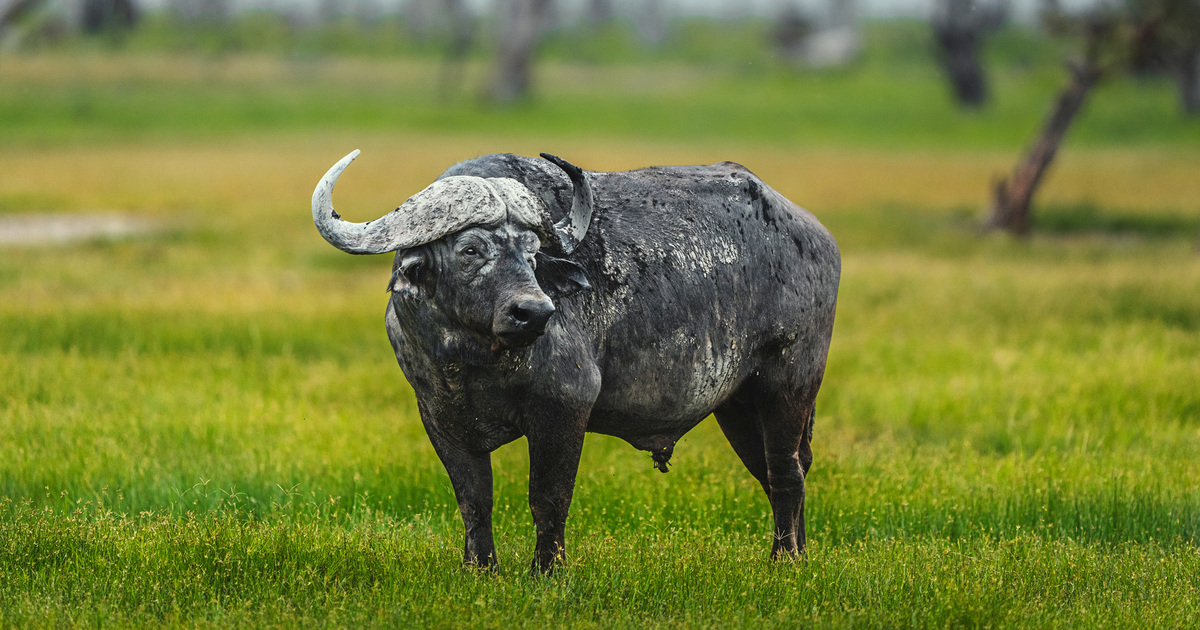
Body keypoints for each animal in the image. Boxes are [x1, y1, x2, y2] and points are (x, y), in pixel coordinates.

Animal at [311, 150, 840, 573]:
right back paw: (799, 553)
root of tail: (816, 235)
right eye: (470, 249)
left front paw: (546, 572)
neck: (472, 358)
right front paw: (480, 570)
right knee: (774, 471)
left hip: (789, 383)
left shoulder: (564, 407)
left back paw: (785, 560)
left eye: (531, 253)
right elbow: (474, 501)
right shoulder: (439, 417)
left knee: (786, 471)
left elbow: (548, 498)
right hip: (737, 405)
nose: (534, 311)